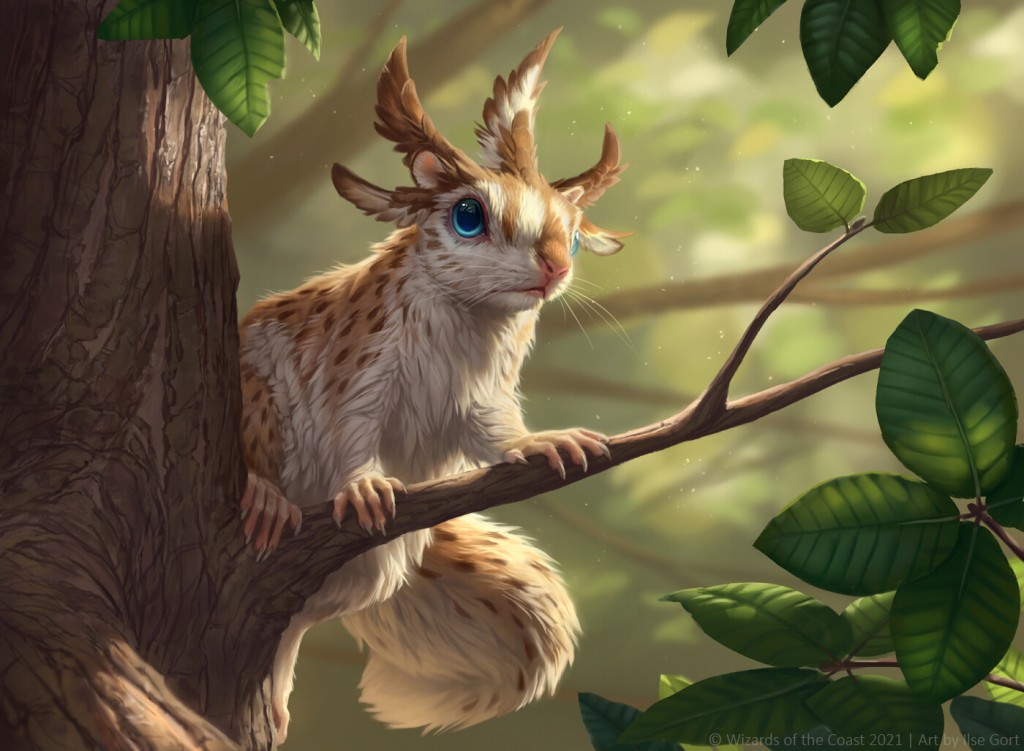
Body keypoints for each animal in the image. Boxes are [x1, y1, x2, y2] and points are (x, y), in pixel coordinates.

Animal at [237, 28, 629, 745]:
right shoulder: (359, 371)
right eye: (468, 217)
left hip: (375, 568)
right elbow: (352, 429)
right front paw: (364, 483)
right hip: (257, 398)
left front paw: (541, 444)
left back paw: (275, 696)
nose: (555, 268)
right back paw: (268, 498)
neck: (467, 318)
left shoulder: (481, 396)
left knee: (299, 619)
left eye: (574, 236)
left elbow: (494, 433)